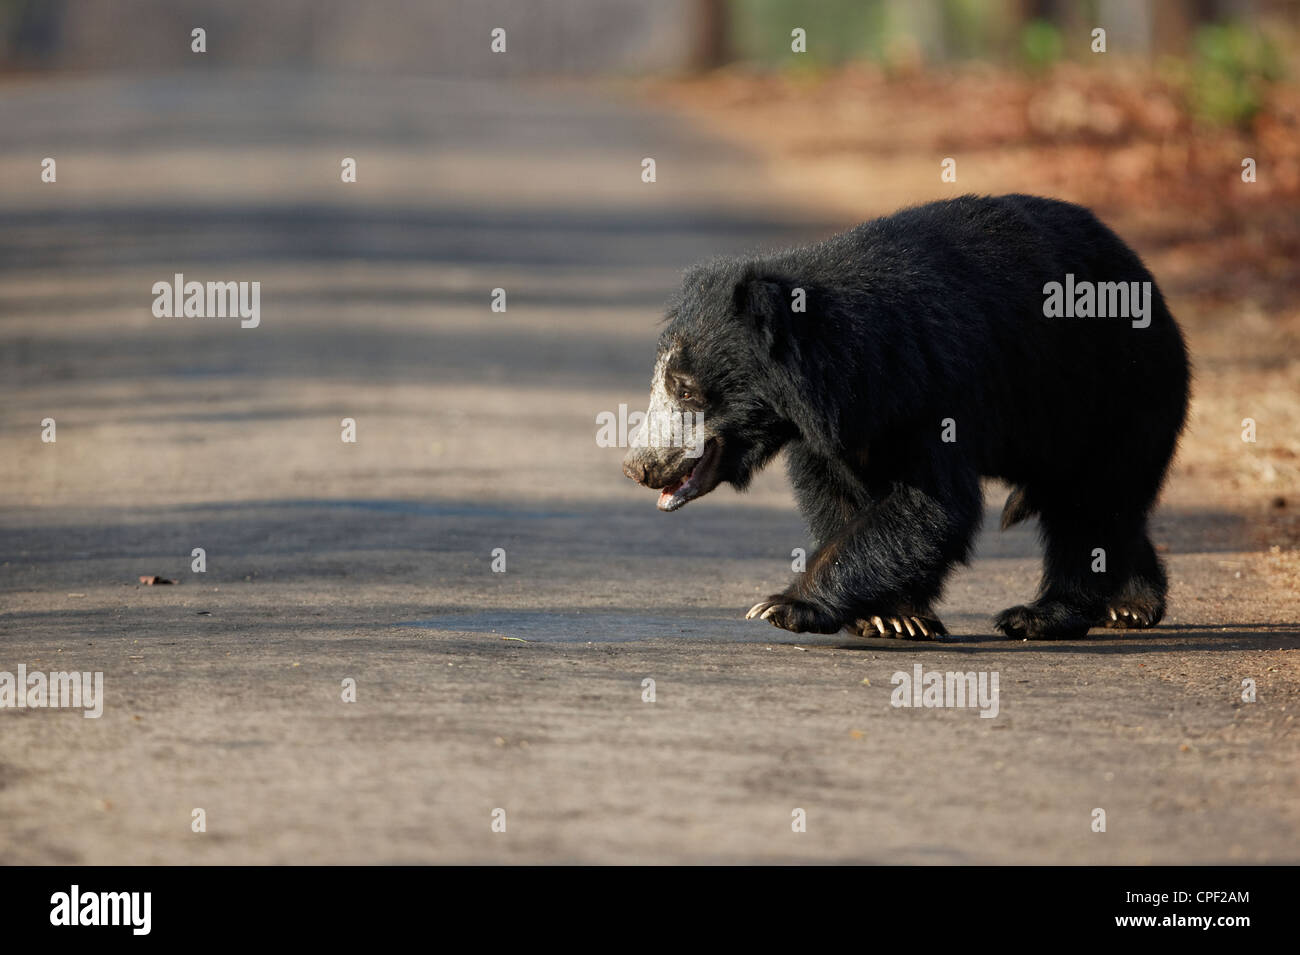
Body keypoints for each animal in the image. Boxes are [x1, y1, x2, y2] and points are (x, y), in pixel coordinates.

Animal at [621, 194, 1190, 640]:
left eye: (686, 389)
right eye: (662, 383)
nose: (639, 466)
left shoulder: (937, 386)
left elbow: (931, 505)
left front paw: (785, 606)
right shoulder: (837, 428)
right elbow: (840, 495)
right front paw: (894, 617)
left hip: (1117, 389)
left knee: (1089, 502)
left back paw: (1045, 615)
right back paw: (1131, 604)